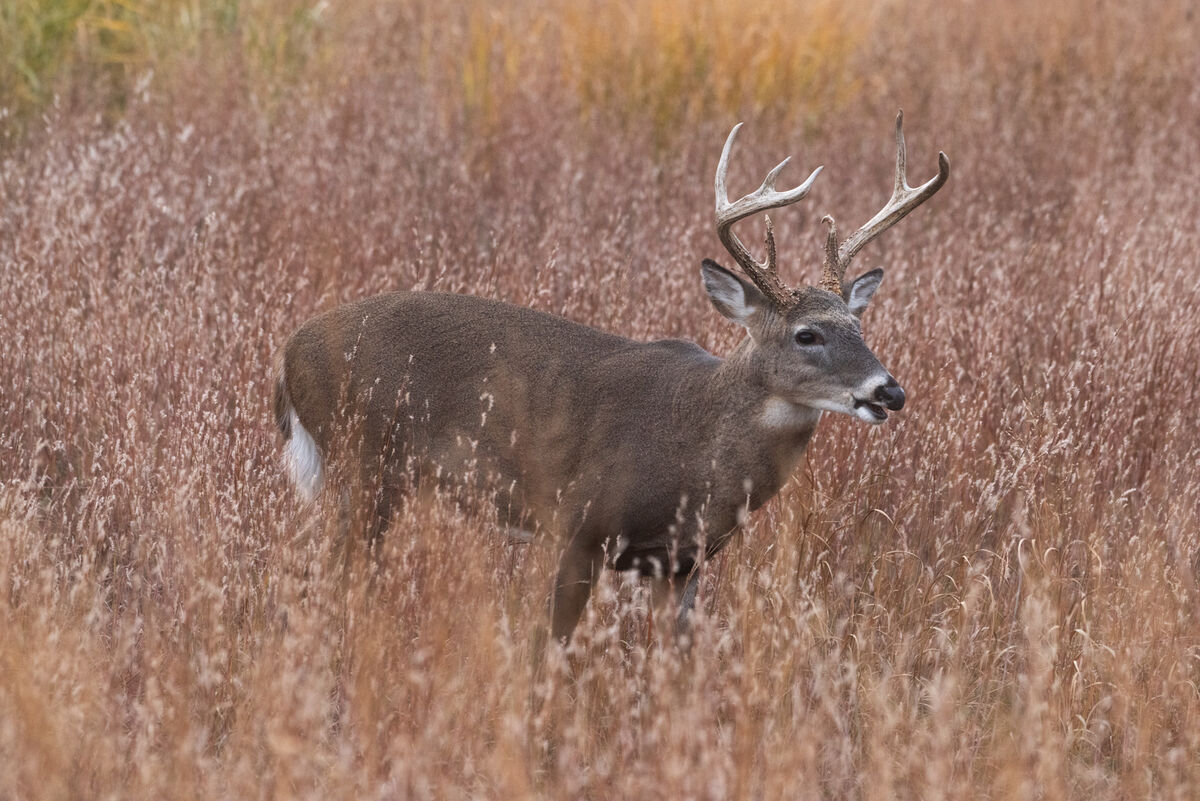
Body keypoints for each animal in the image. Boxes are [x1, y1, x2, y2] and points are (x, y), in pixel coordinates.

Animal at [274, 112, 949, 645]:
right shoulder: (579, 525)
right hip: (365, 462)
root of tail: (288, 354)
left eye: (858, 325)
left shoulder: (682, 562)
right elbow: (548, 645)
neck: (697, 443)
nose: (889, 391)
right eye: (807, 334)